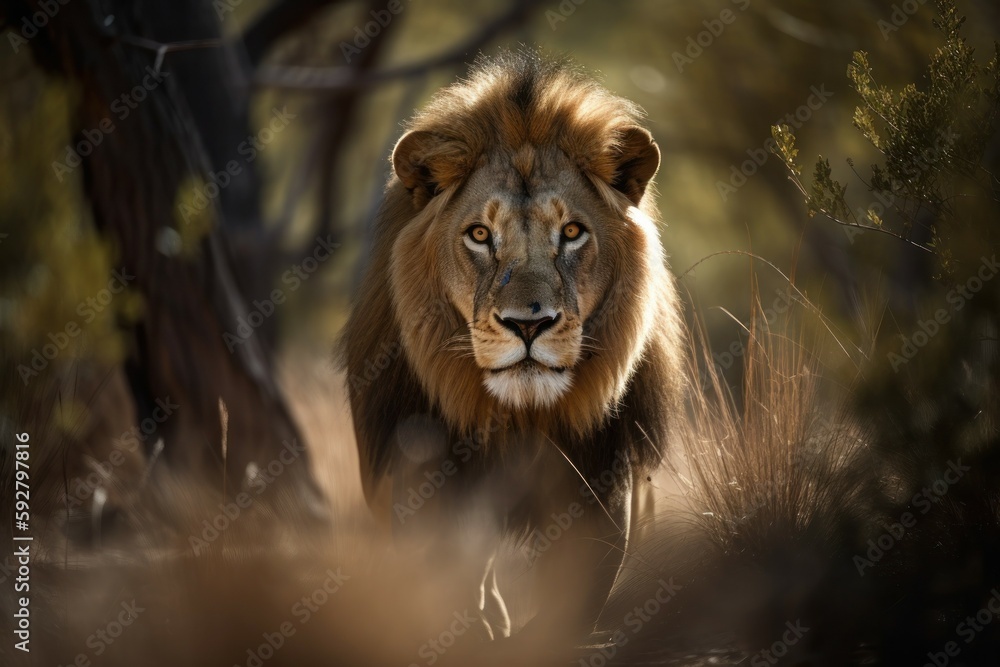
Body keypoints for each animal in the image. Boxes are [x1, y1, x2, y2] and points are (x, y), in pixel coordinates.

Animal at [341, 50, 684, 643]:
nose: (529, 325)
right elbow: (448, 604)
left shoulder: (601, 493)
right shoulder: (421, 491)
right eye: (480, 235)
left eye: (571, 232)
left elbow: (569, 607)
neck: (518, 420)